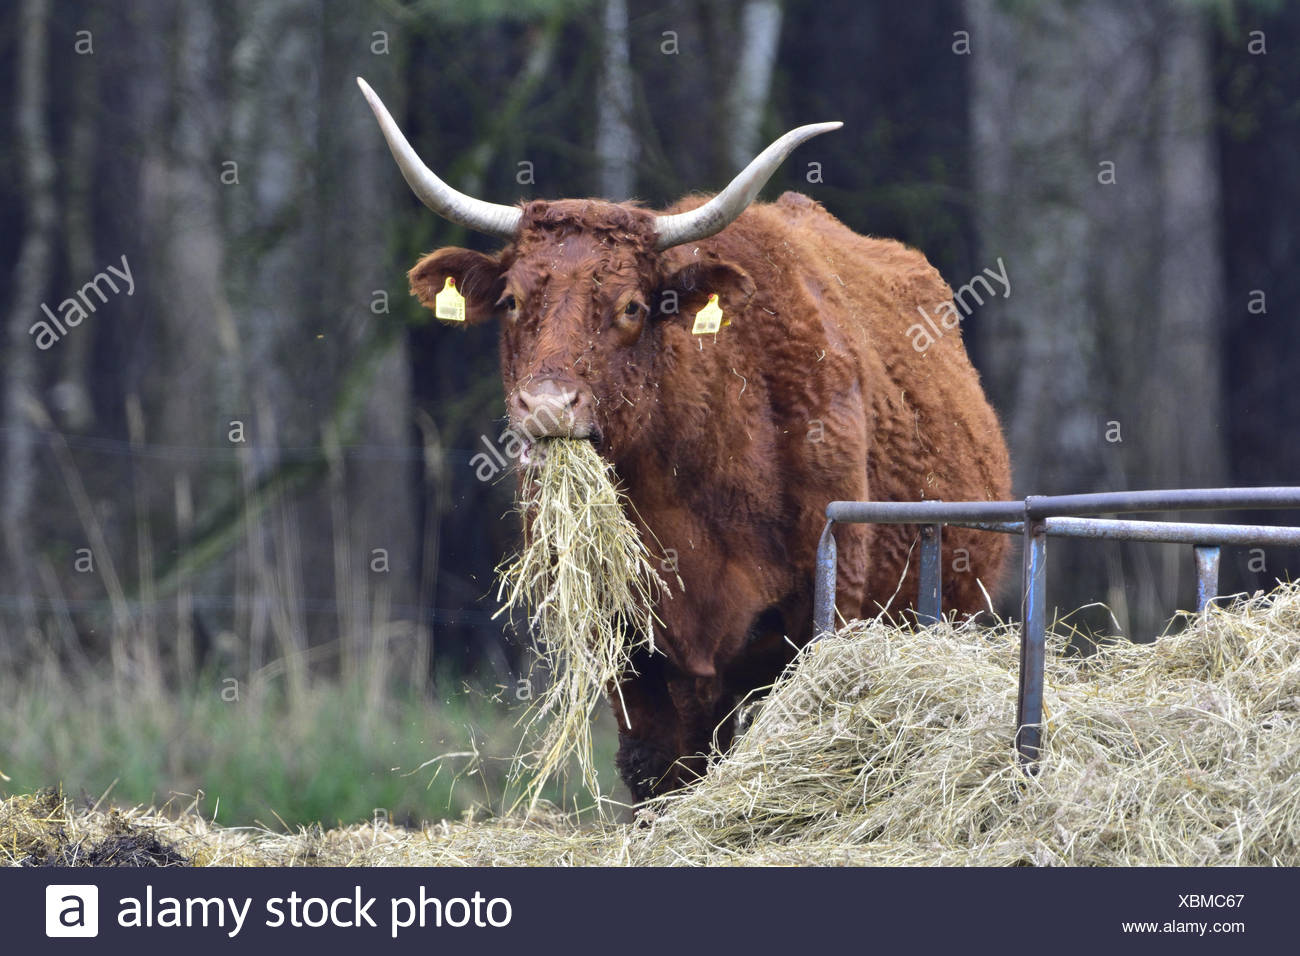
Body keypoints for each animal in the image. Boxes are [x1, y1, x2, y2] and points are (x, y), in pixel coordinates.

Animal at [358, 78, 1012, 801]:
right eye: (510, 301)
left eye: (631, 306)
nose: (547, 407)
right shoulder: (625, 646)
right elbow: (656, 769)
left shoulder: (818, 612)